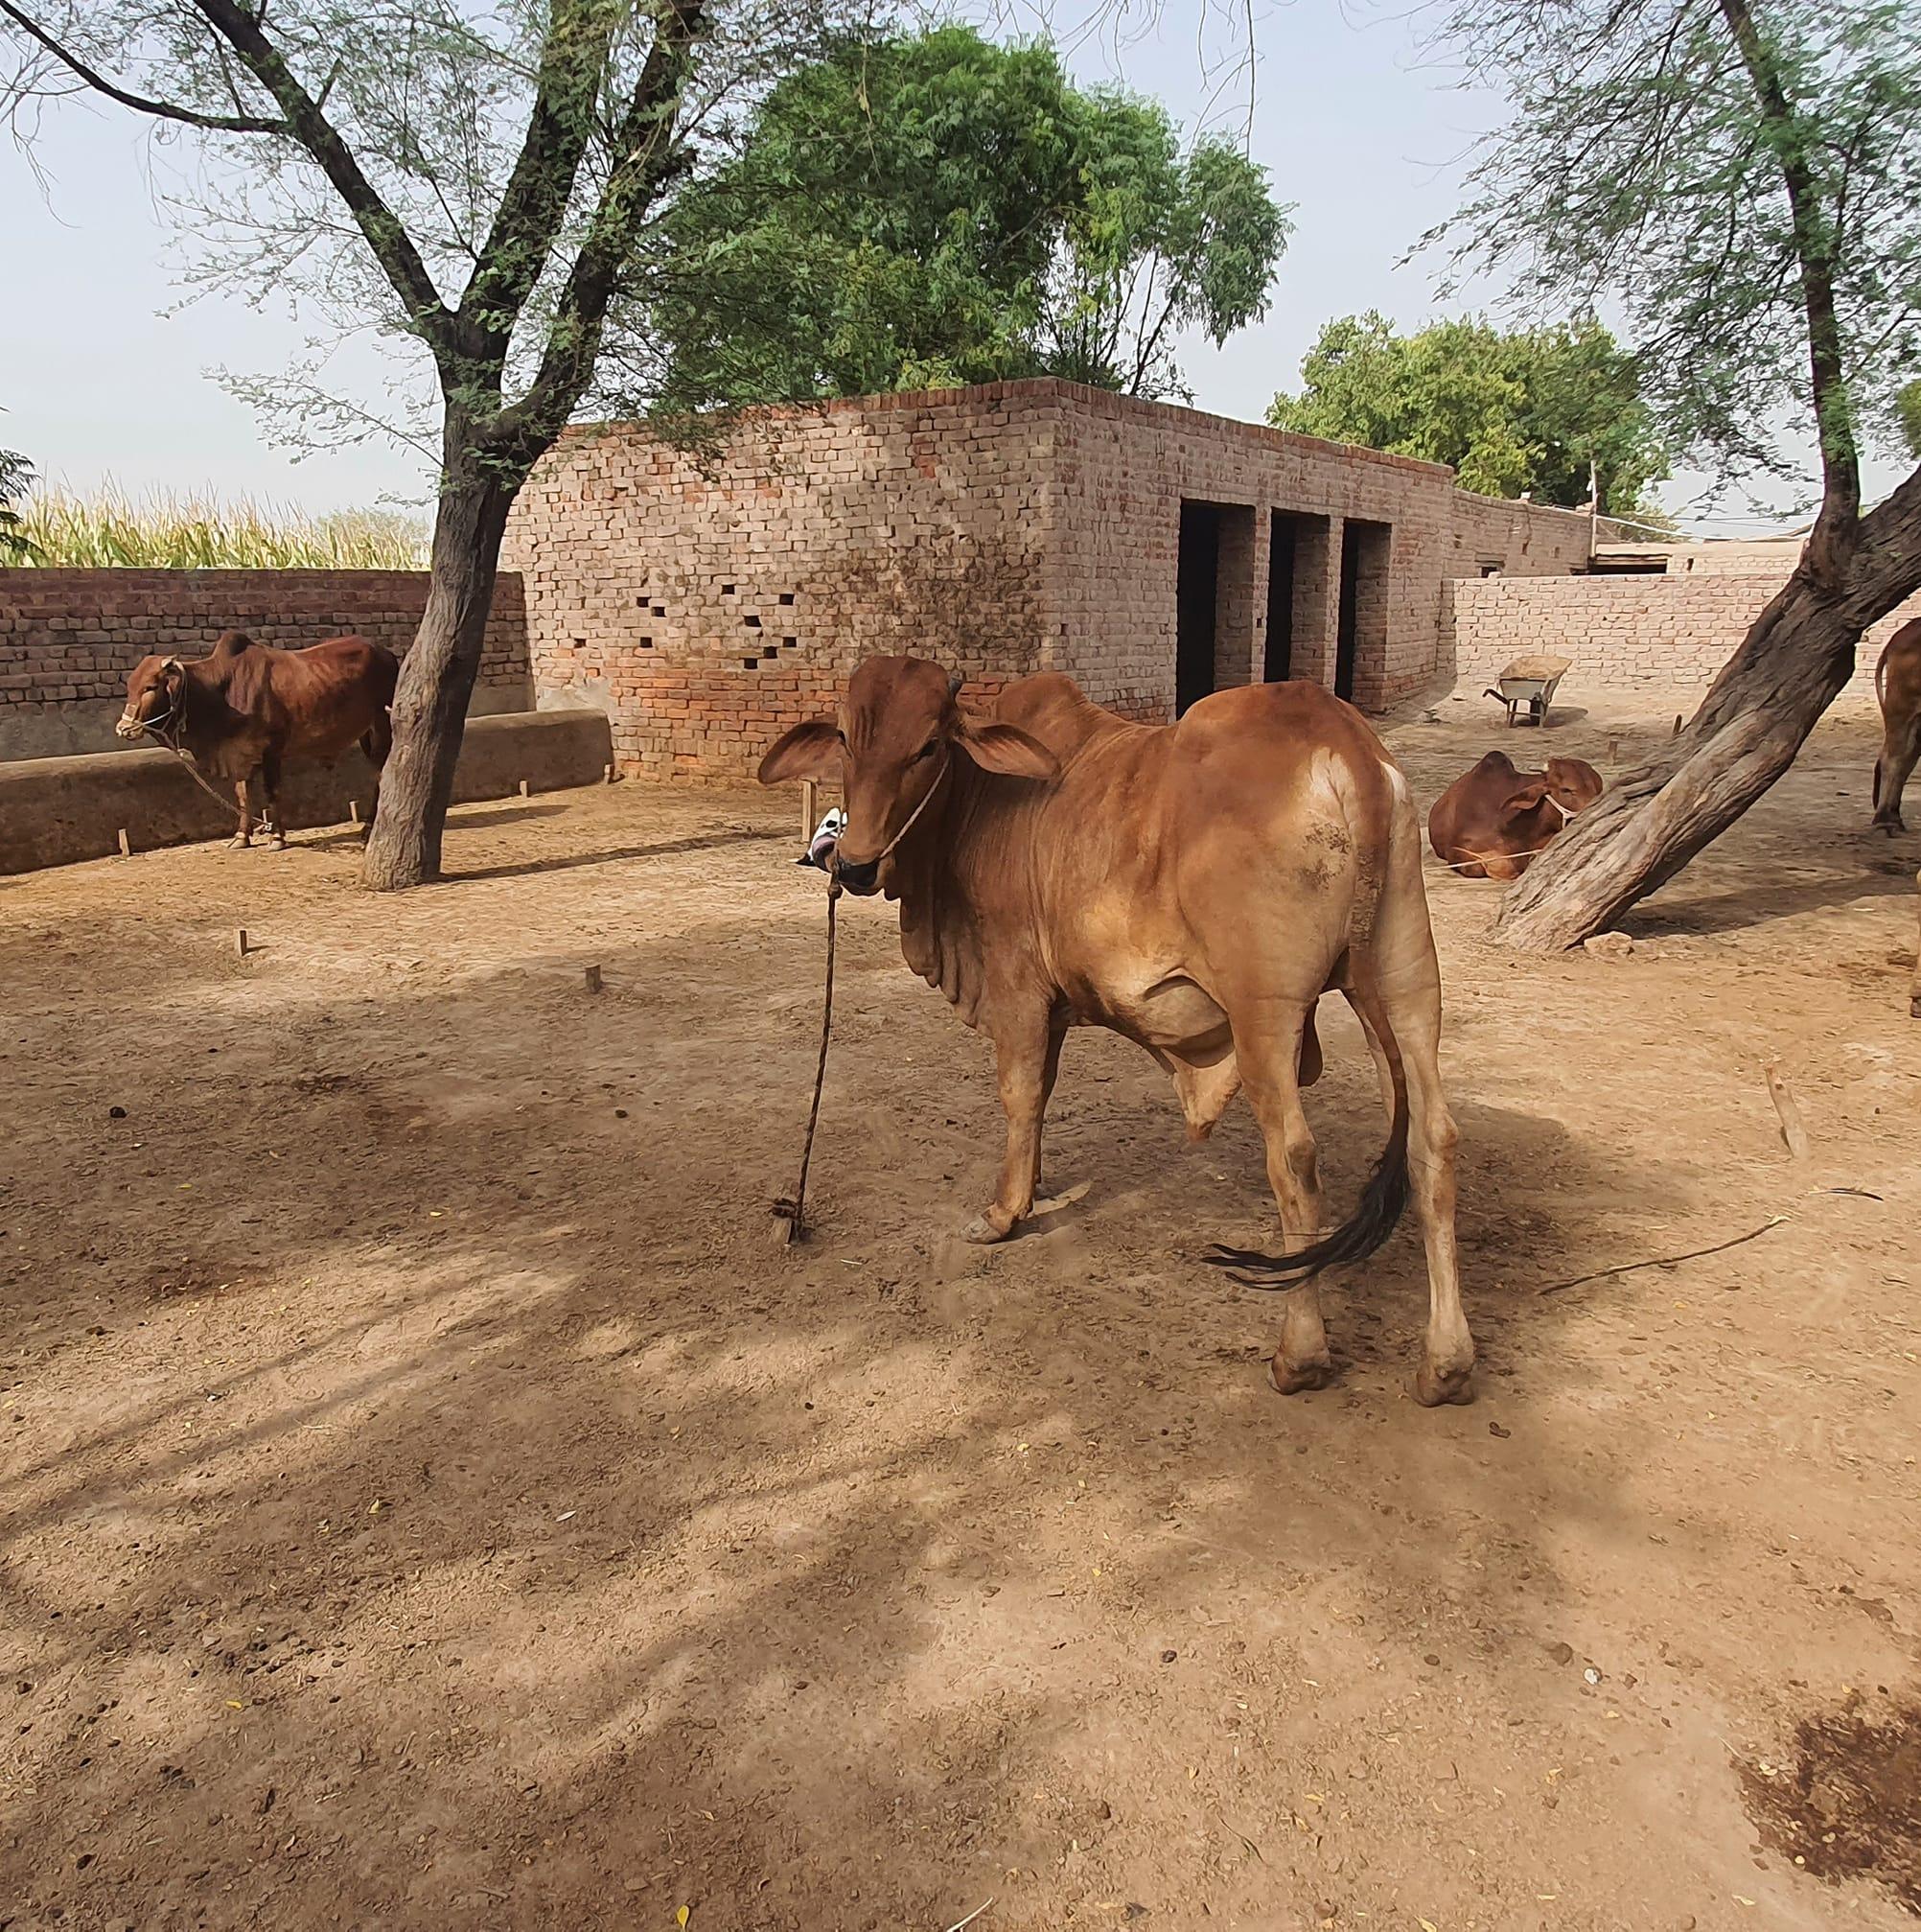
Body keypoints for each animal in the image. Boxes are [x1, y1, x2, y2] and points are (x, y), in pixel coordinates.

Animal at [115, 631, 399, 848]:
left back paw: (369, 828)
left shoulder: (271, 749)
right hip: (366, 734)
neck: (221, 691)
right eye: (130, 686)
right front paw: (242, 836)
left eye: (150, 687)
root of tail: (388, 655)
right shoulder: (241, 751)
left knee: (383, 772)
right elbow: (242, 793)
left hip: (382, 726)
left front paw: (277, 837)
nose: (123, 728)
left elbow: (272, 791)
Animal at [759, 657, 1475, 1408]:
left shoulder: (1016, 988)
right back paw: (1446, 1363)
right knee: (1433, 1141)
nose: (855, 864)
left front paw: (1002, 1213)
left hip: (1265, 1013)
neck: (977, 803)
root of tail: (1344, 743)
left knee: (1296, 1160)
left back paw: (1299, 1356)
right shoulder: (1054, 1003)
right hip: (1405, 985)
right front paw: (1032, 1184)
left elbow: (1019, 1094)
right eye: (846, 738)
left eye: (929, 745)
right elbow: (1041, 1095)